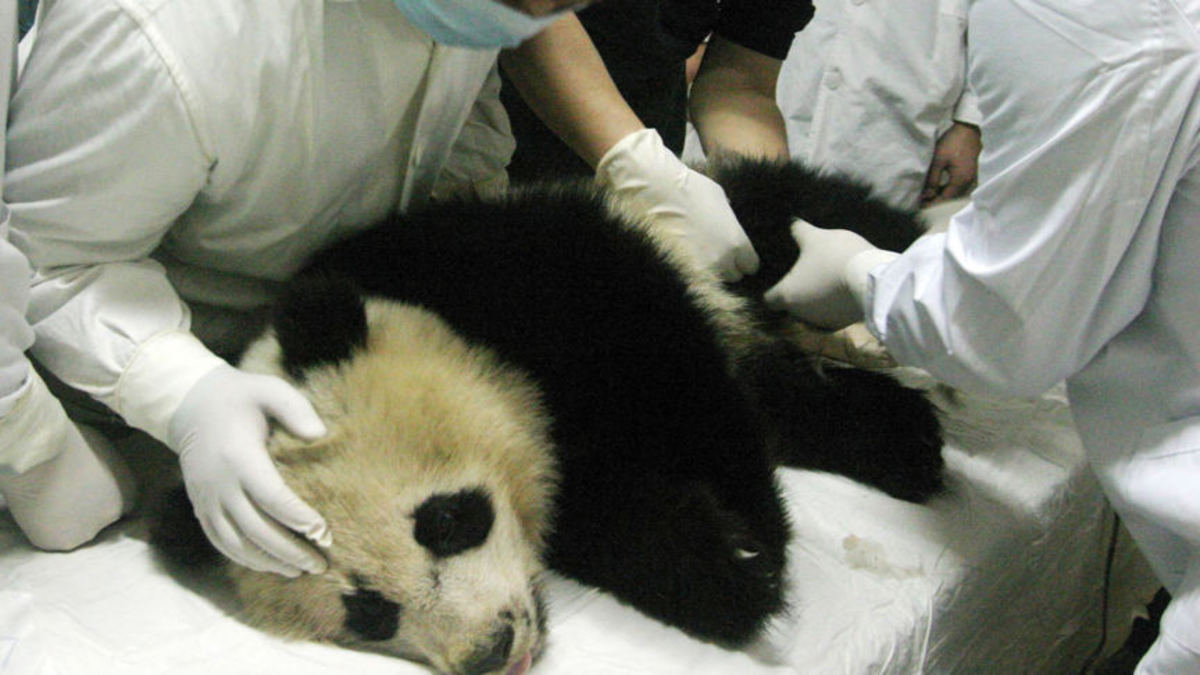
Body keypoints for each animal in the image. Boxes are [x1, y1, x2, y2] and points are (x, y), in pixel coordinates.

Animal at [153, 157, 945, 675]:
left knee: (808, 218)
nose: (491, 651)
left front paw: (752, 537)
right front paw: (718, 566)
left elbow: (680, 377)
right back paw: (906, 439)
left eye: (445, 519)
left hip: (741, 232)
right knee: (785, 391)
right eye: (368, 611)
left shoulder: (544, 259)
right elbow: (606, 513)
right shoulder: (576, 484)